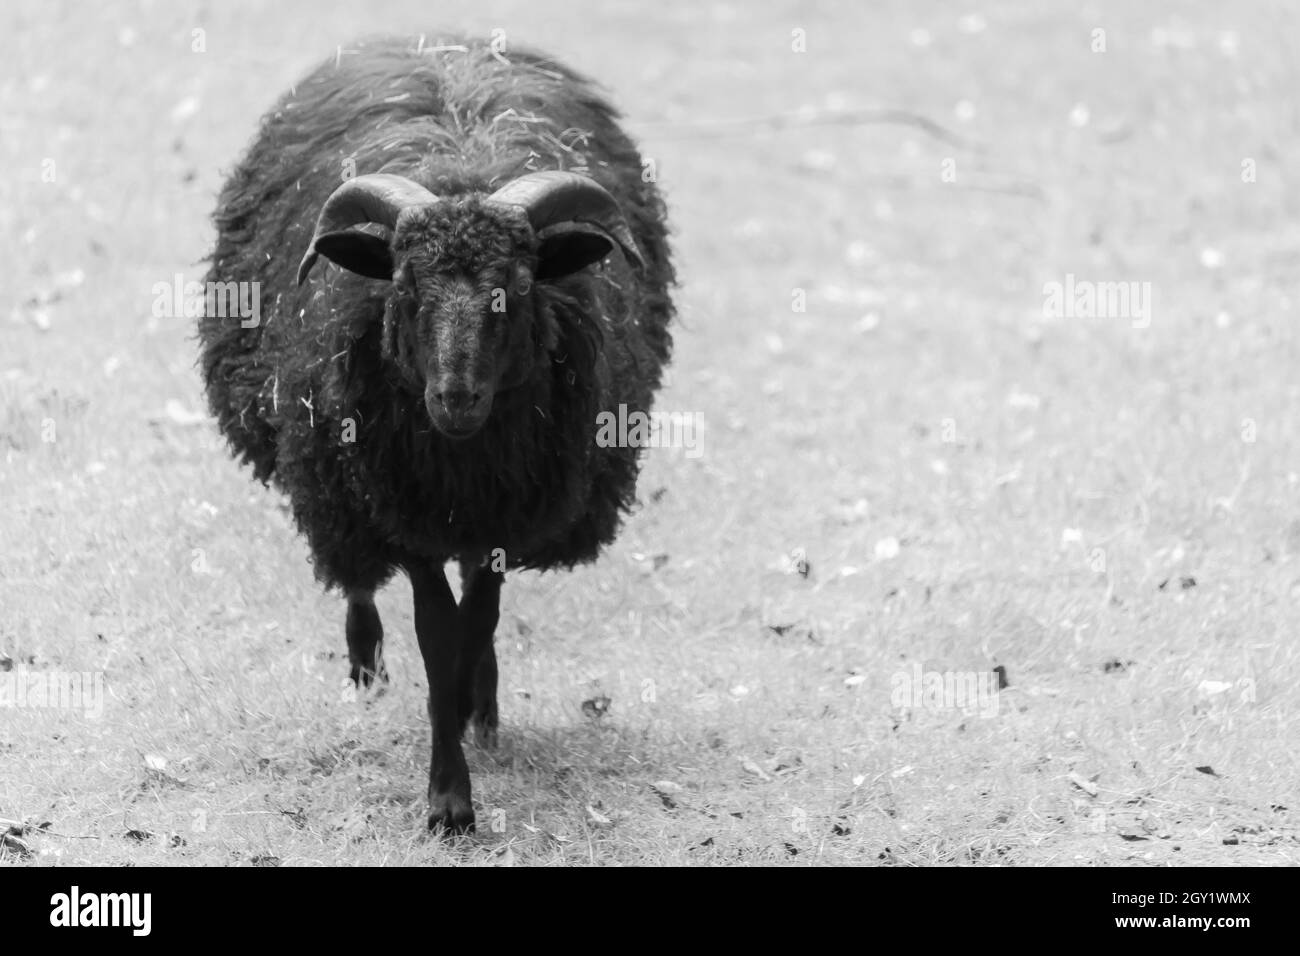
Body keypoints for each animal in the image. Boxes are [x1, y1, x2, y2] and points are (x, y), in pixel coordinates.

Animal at [198, 34, 674, 833]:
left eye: (516, 288)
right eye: (405, 286)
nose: (455, 396)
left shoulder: (503, 511)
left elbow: (477, 621)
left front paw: (469, 715)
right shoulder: (404, 510)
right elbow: (435, 633)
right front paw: (448, 797)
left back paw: (482, 707)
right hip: (337, 481)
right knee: (358, 577)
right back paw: (367, 669)